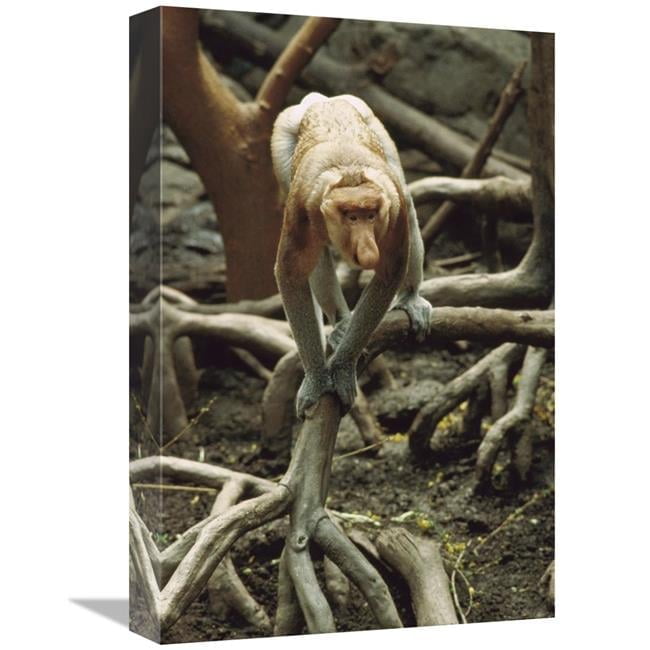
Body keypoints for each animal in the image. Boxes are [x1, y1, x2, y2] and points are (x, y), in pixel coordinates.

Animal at [271, 93, 432, 419]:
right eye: (351, 216)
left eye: (370, 214)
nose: (367, 247)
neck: (348, 172)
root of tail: (323, 101)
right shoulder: (299, 208)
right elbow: (291, 274)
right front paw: (317, 380)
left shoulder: (392, 209)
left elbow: (389, 272)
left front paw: (343, 369)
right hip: (285, 131)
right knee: (317, 254)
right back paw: (341, 323)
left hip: (371, 119)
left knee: (410, 205)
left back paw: (409, 298)